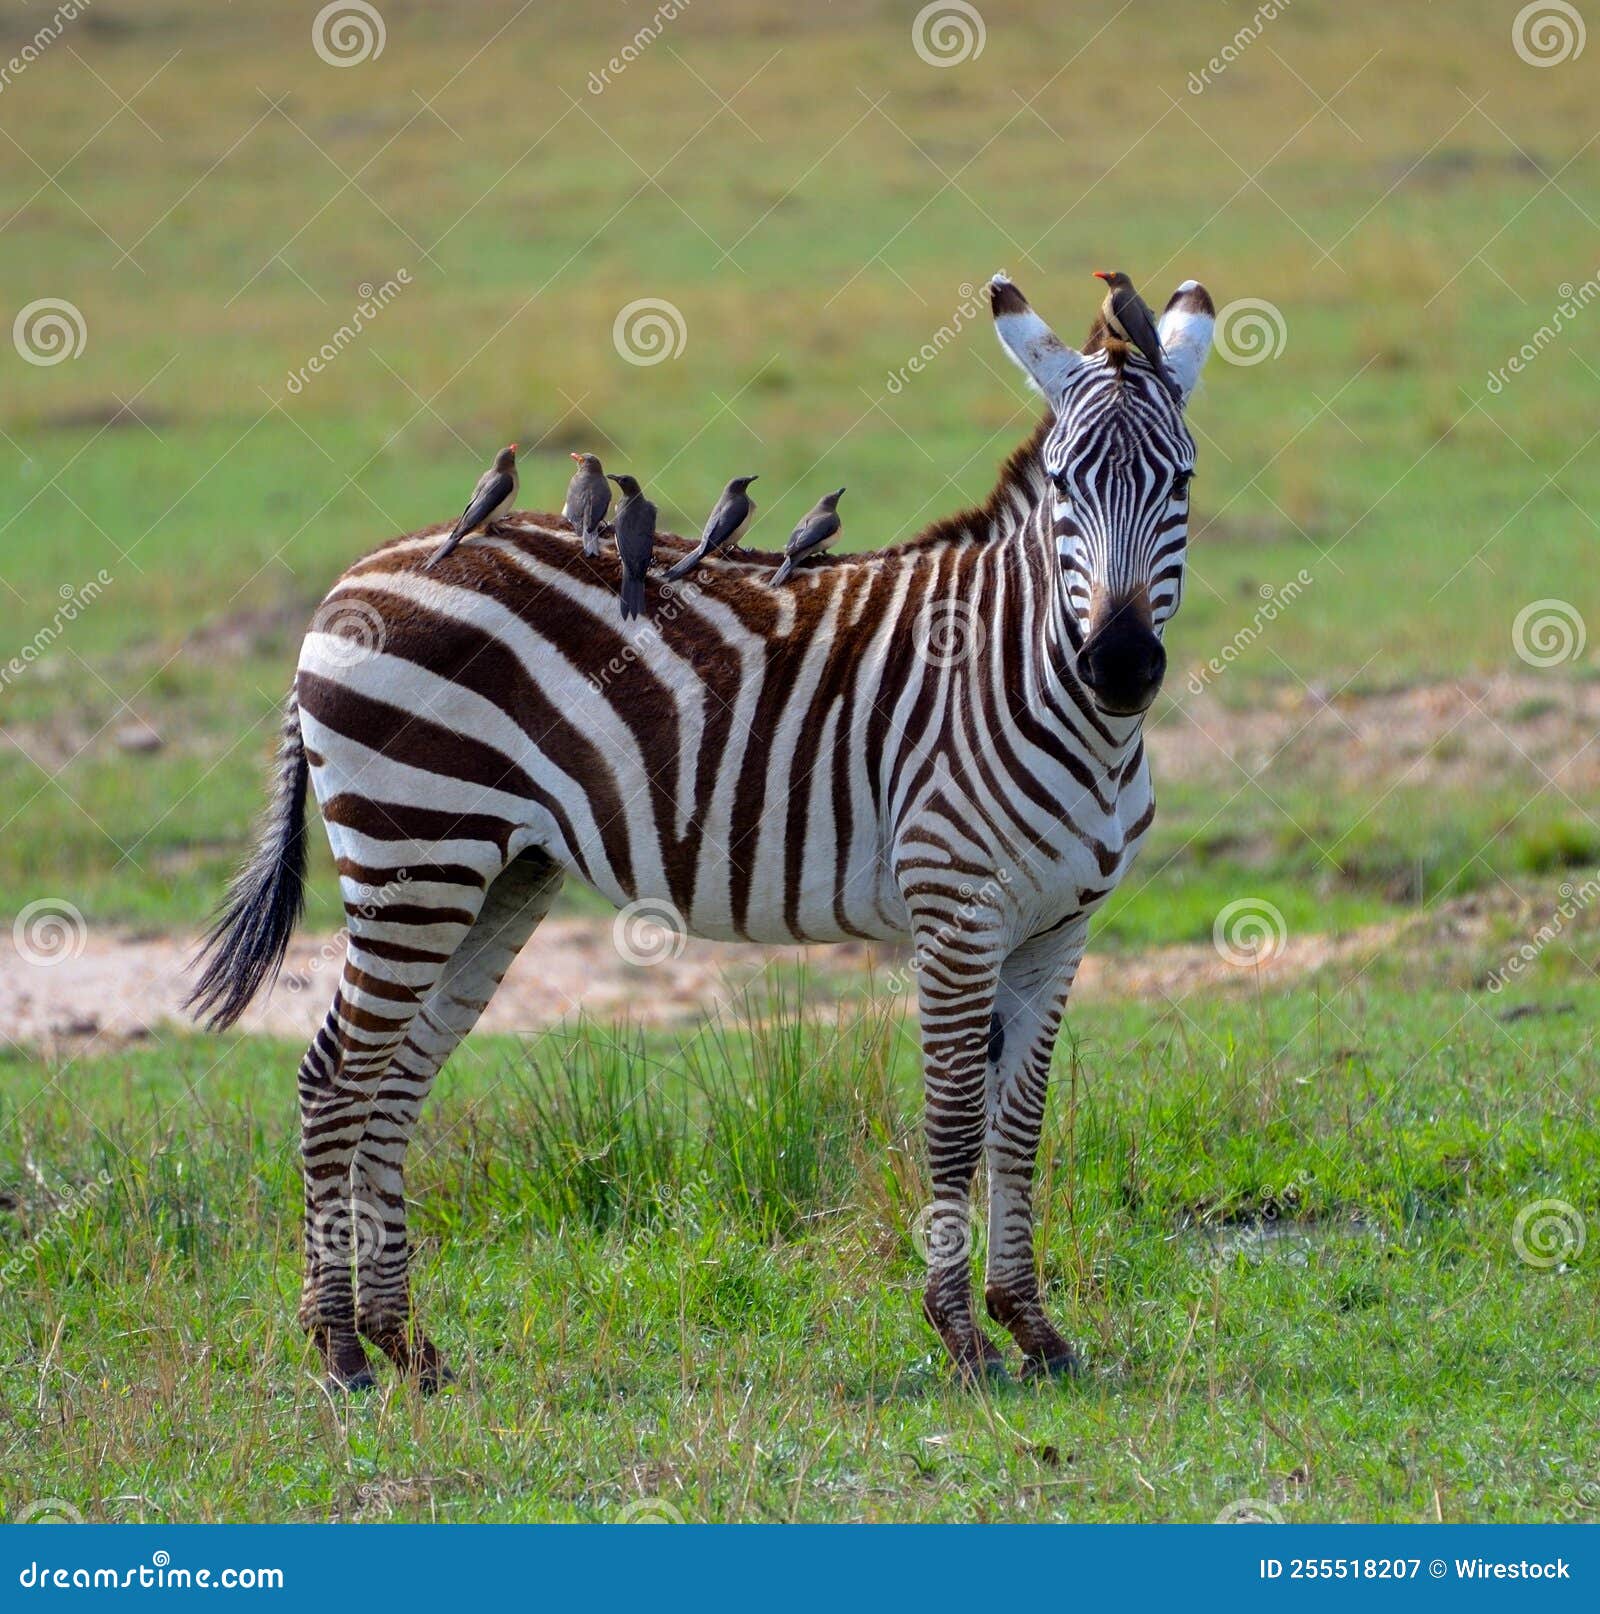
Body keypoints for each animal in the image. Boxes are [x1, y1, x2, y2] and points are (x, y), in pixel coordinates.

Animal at [189, 270, 1216, 1389]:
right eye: (1068, 486)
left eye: (1182, 483)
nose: (1120, 664)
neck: (1028, 676)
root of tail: (355, 577)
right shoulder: (957, 910)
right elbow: (951, 1123)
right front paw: (961, 1336)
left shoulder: (1060, 926)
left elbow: (1019, 1127)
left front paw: (1032, 1327)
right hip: (413, 854)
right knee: (334, 1079)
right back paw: (338, 1347)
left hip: (494, 876)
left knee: (394, 1082)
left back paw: (406, 1345)